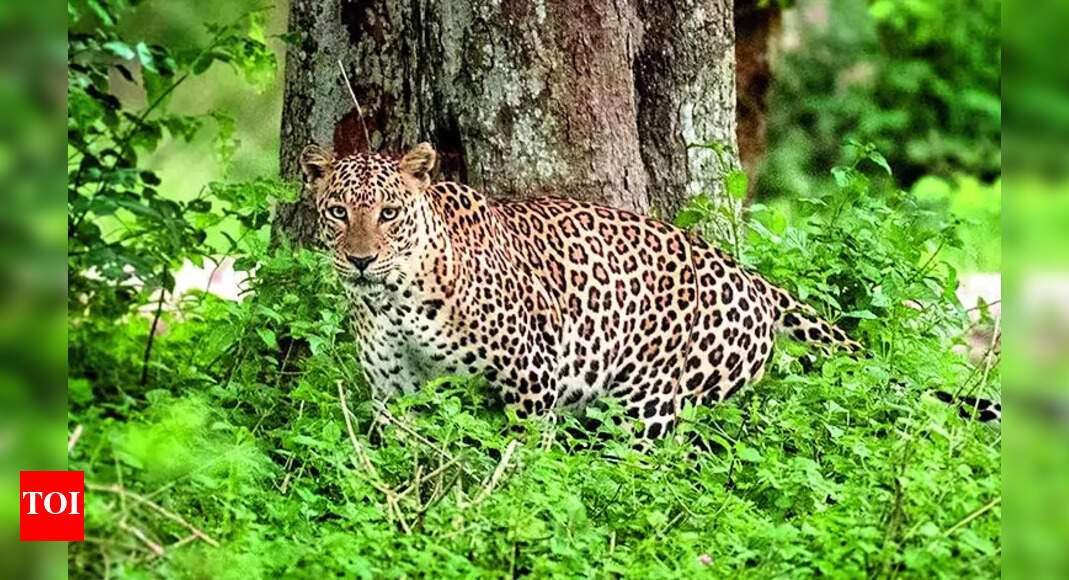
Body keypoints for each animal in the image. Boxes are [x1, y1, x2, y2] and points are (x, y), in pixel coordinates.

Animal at [301, 142, 1000, 438]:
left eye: (389, 213)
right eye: (338, 211)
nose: (360, 261)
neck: (394, 300)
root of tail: (750, 275)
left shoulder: (531, 378)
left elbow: (519, 457)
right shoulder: (395, 394)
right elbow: (410, 460)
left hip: (648, 401)